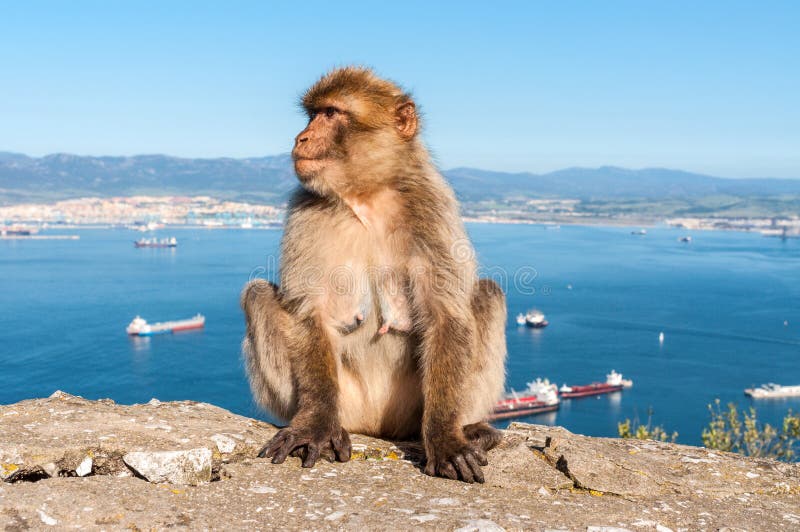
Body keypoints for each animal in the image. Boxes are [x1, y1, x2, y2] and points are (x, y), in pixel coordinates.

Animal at [241, 67, 507, 483]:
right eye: (312, 115)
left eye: (331, 114)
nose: (301, 138)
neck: (366, 195)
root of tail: (379, 428)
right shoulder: (305, 210)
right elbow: (309, 312)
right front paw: (314, 425)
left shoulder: (432, 206)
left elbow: (446, 314)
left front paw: (446, 438)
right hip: (347, 404)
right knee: (258, 296)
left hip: (412, 406)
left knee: (488, 294)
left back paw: (469, 429)